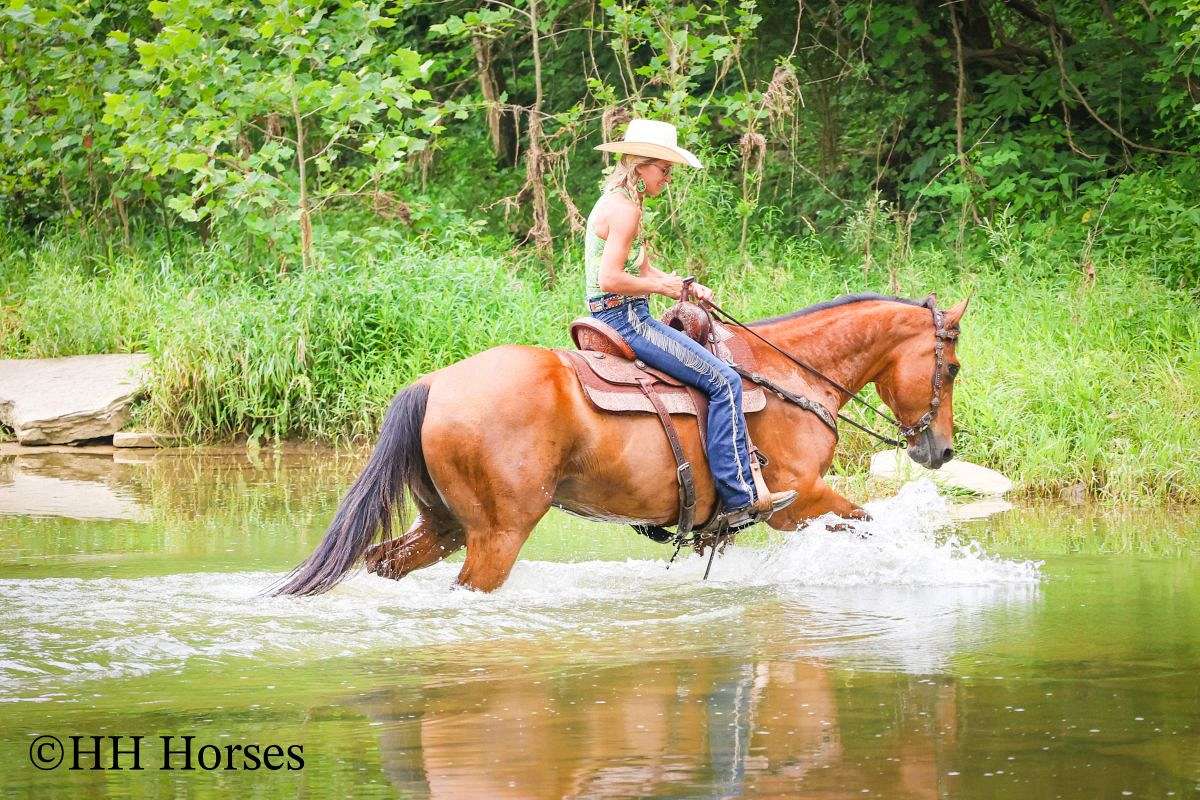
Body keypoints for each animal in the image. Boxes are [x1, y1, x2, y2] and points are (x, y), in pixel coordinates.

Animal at [273, 293, 969, 596]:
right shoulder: (798, 497)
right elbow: (869, 525)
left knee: (385, 558)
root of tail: (434, 383)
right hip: (498, 533)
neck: (793, 377)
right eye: (955, 368)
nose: (939, 451)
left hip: (443, 524)